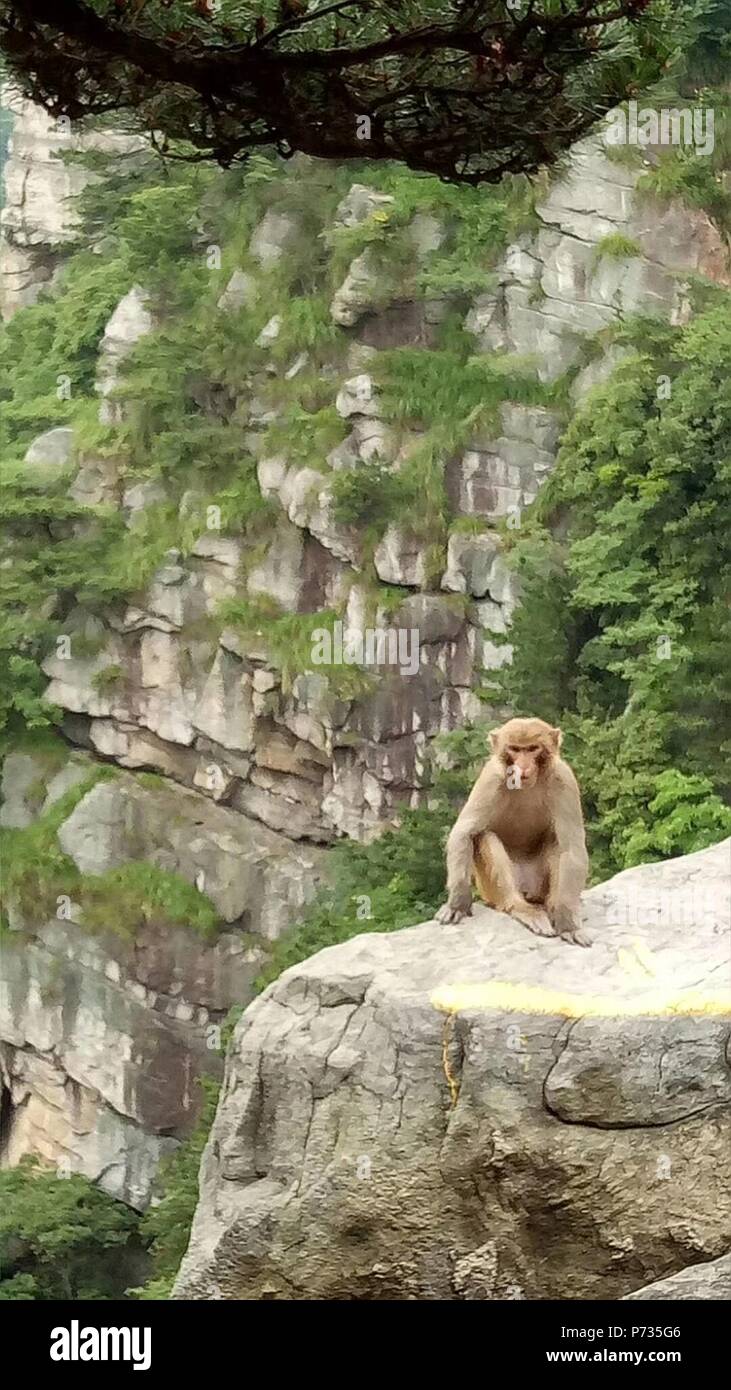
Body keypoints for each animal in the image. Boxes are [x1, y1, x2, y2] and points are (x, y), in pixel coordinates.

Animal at [435, 717, 590, 946]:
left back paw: (553, 906)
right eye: (515, 749)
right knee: (485, 836)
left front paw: (567, 924)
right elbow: (464, 833)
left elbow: (571, 848)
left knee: (557, 842)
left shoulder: (563, 779)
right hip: (491, 891)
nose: (523, 766)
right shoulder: (490, 778)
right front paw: (457, 904)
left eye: (533, 749)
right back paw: (520, 907)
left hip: (538, 886)